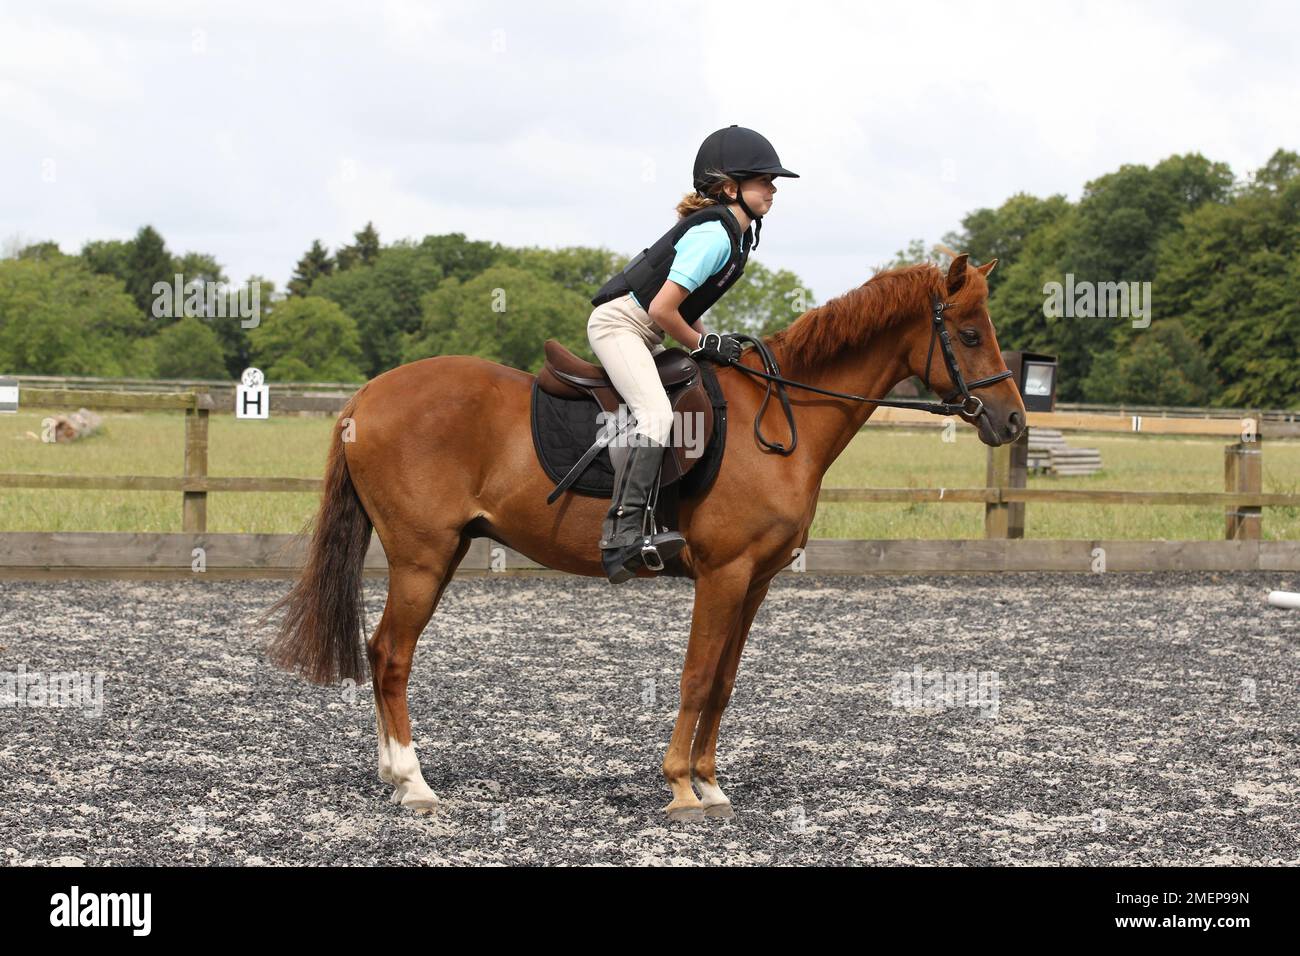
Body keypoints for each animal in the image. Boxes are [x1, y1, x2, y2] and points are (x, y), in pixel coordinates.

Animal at [266, 253, 1026, 820]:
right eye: (967, 334)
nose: (1012, 422)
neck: (784, 416)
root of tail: (366, 397)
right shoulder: (723, 573)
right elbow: (695, 676)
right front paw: (682, 788)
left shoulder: (754, 582)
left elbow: (723, 681)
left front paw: (711, 783)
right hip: (422, 558)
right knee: (392, 654)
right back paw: (413, 782)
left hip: (442, 552)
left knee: (381, 653)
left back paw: (391, 775)